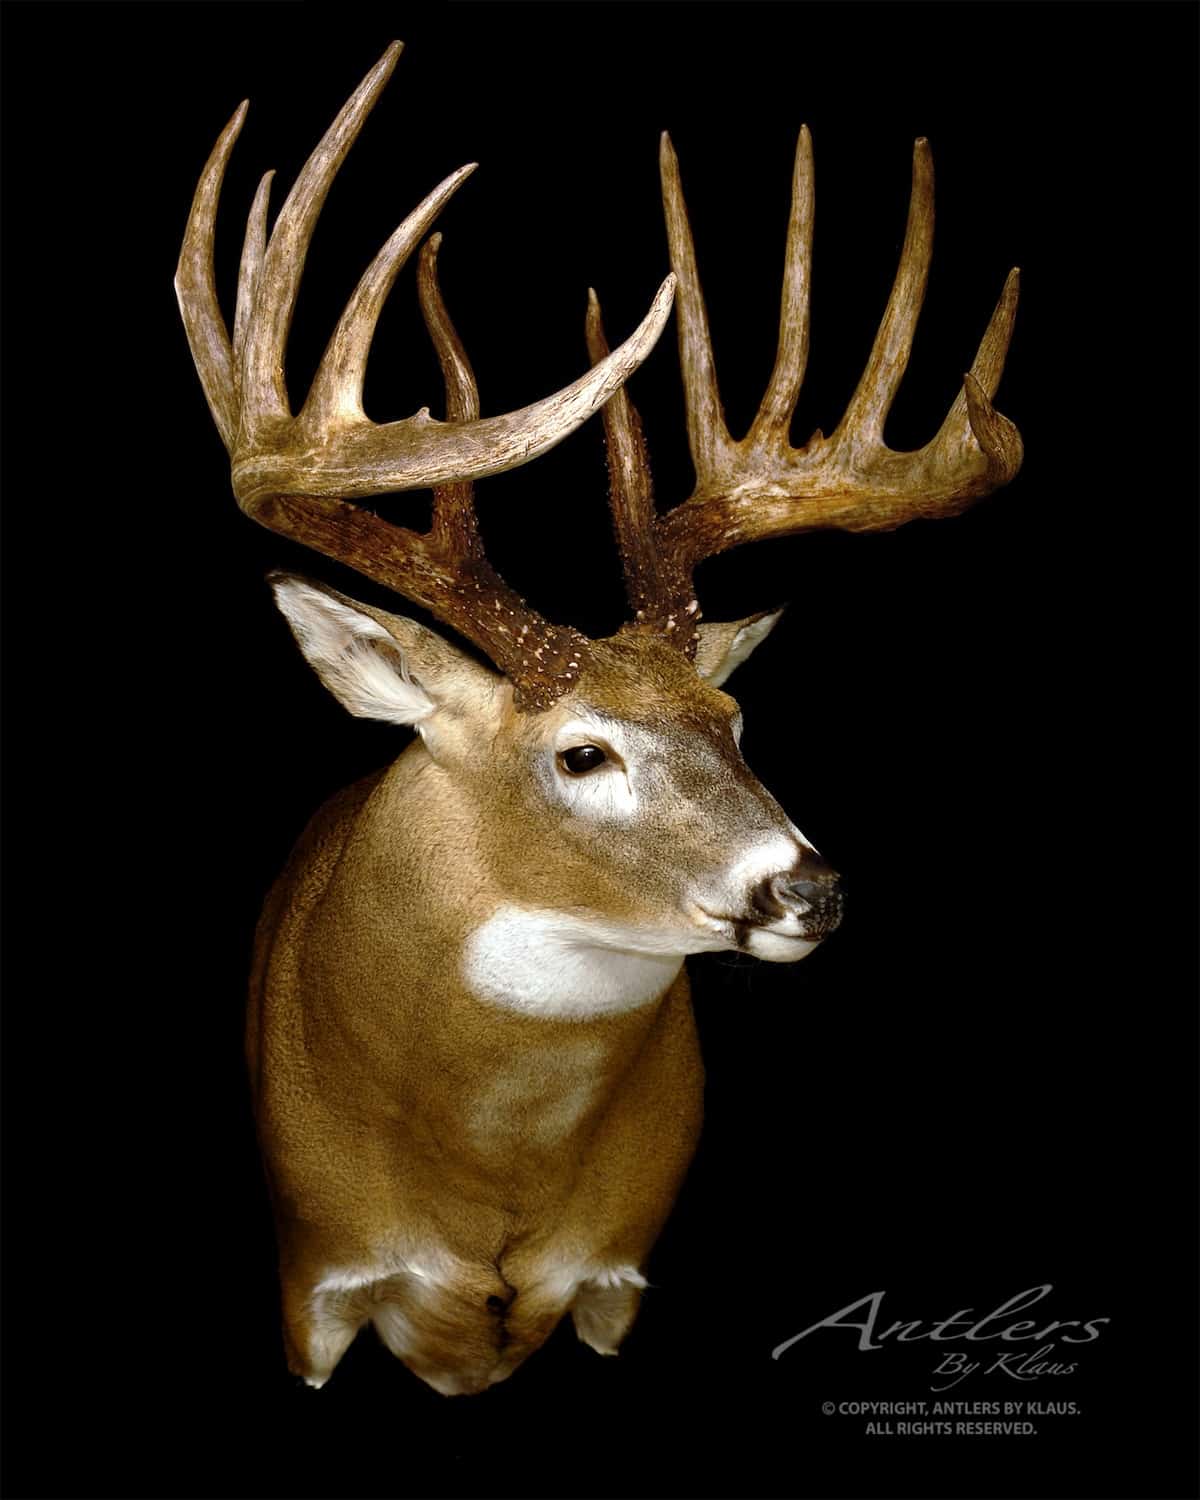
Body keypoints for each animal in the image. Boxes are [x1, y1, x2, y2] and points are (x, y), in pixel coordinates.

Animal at [176, 42, 1021, 1397]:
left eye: (736, 717)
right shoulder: (312, 1278)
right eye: (582, 752)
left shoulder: (618, 1277)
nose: (810, 887)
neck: (487, 1187)